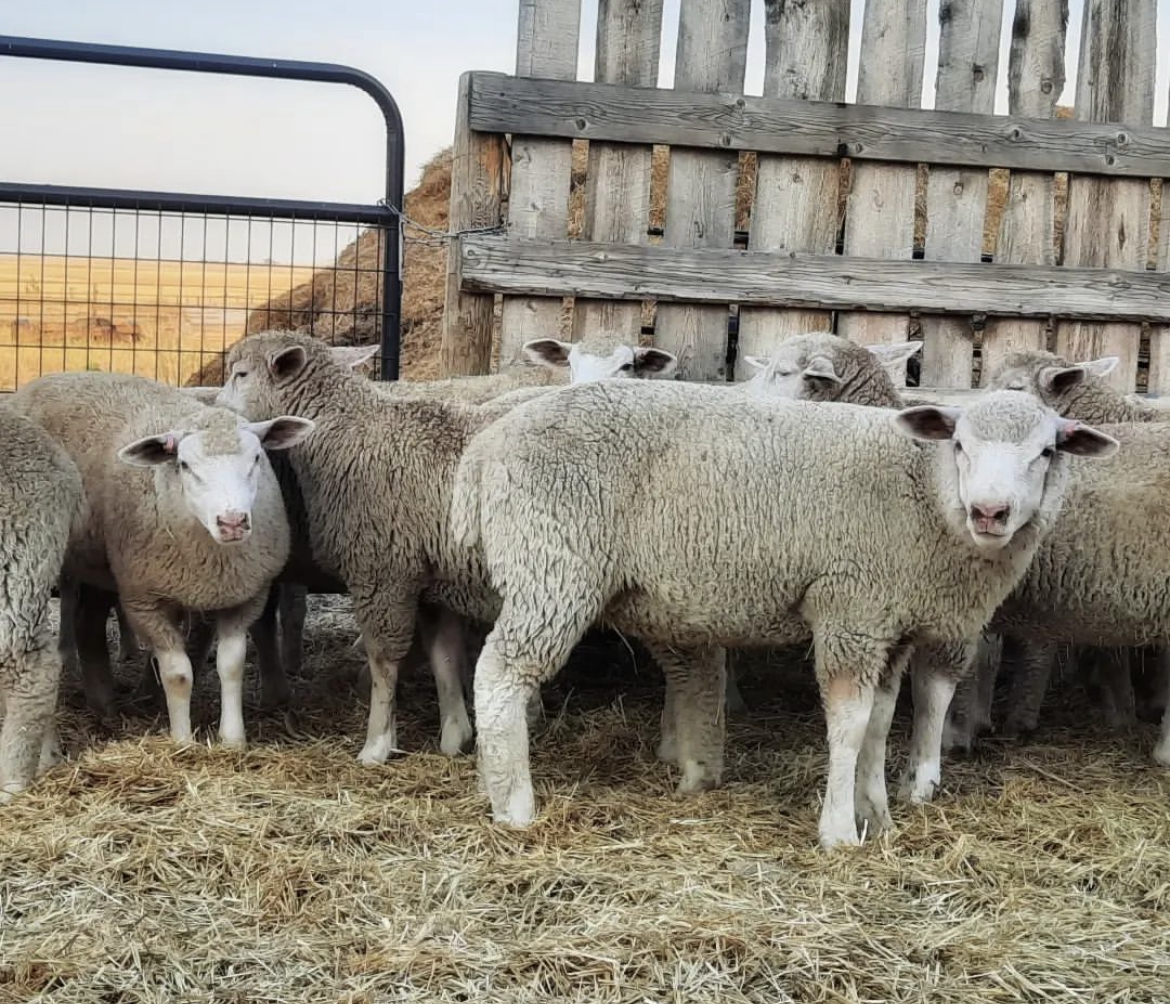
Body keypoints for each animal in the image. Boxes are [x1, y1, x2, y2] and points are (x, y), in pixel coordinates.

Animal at [10, 372, 314, 745]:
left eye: (257, 458)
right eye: (184, 465)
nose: (232, 522)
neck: (213, 561)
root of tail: (55, 375)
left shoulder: (245, 597)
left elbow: (231, 665)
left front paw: (233, 740)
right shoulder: (145, 601)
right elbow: (178, 674)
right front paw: (182, 741)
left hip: (99, 567)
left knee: (88, 624)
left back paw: (103, 704)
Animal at [450, 380, 1117, 847]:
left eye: (1047, 452)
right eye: (959, 445)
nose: (989, 512)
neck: (924, 490)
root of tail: (485, 448)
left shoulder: (891, 622)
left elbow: (880, 722)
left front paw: (878, 815)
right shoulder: (850, 608)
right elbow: (849, 723)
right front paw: (840, 831)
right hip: (551, 566)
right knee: (499, 678)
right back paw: (514, 808)